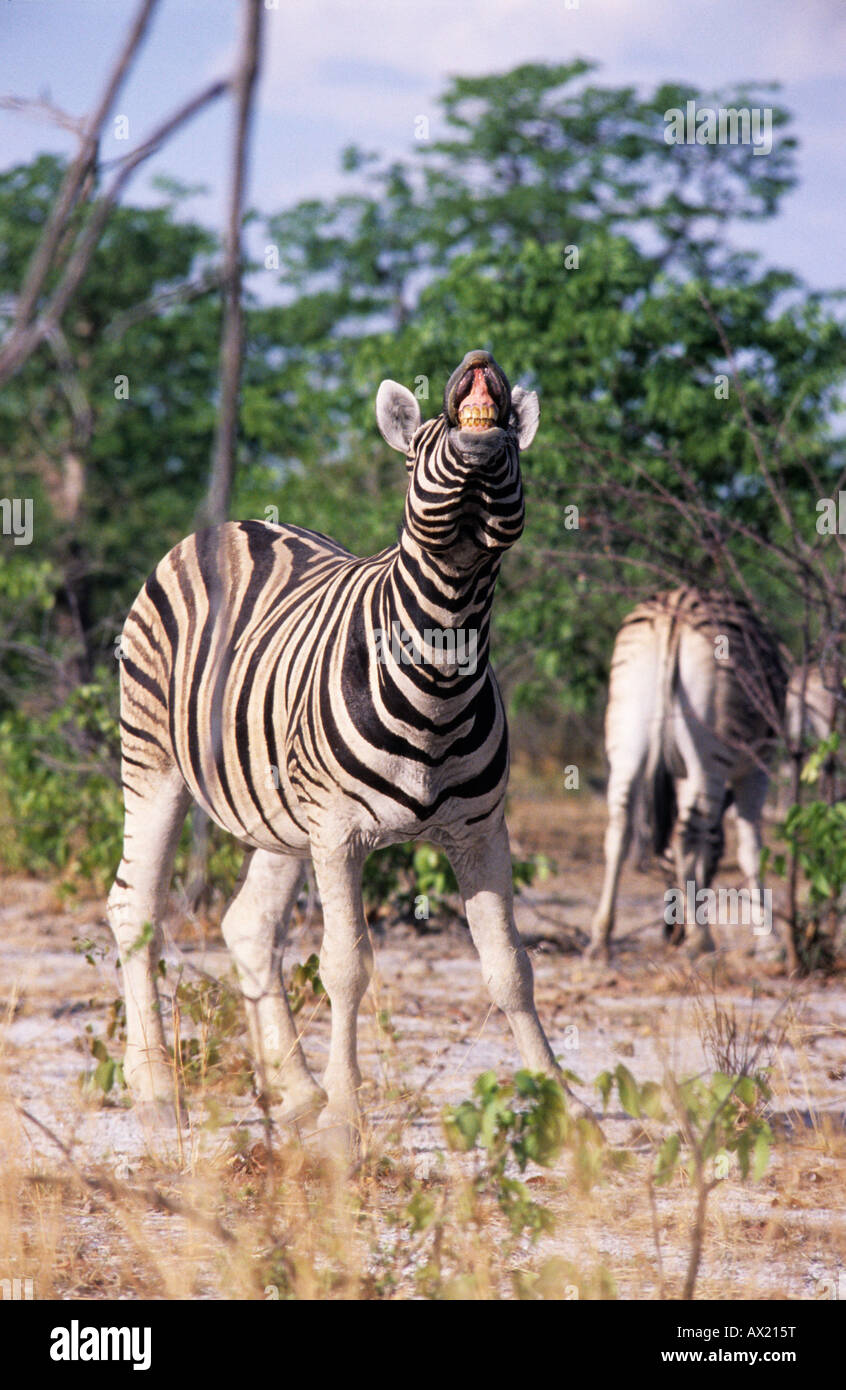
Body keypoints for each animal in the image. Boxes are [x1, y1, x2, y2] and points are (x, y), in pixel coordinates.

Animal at [107, 349, 562, 1145]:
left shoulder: (481, 831)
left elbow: (511, 968)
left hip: (281, 812)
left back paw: (294, 1092)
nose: (479, 360)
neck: (440, 668)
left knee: (248, 925)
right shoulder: (340, 833)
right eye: (422, 444)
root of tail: (228, 527)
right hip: (155, 763)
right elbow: (347, 965)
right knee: (136, 909)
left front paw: (568, 1110)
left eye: (508, 434)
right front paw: (349, 1116)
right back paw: (158, 1091)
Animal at [587, 587, 787, 959]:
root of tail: (674, 610)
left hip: (626, 734)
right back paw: (701, 940)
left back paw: (601, 940)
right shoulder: (756, 768)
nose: (671, 936)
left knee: (619, 828)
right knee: (686, 834)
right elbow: (751, 849)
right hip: (711, 751)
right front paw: (769, 941)